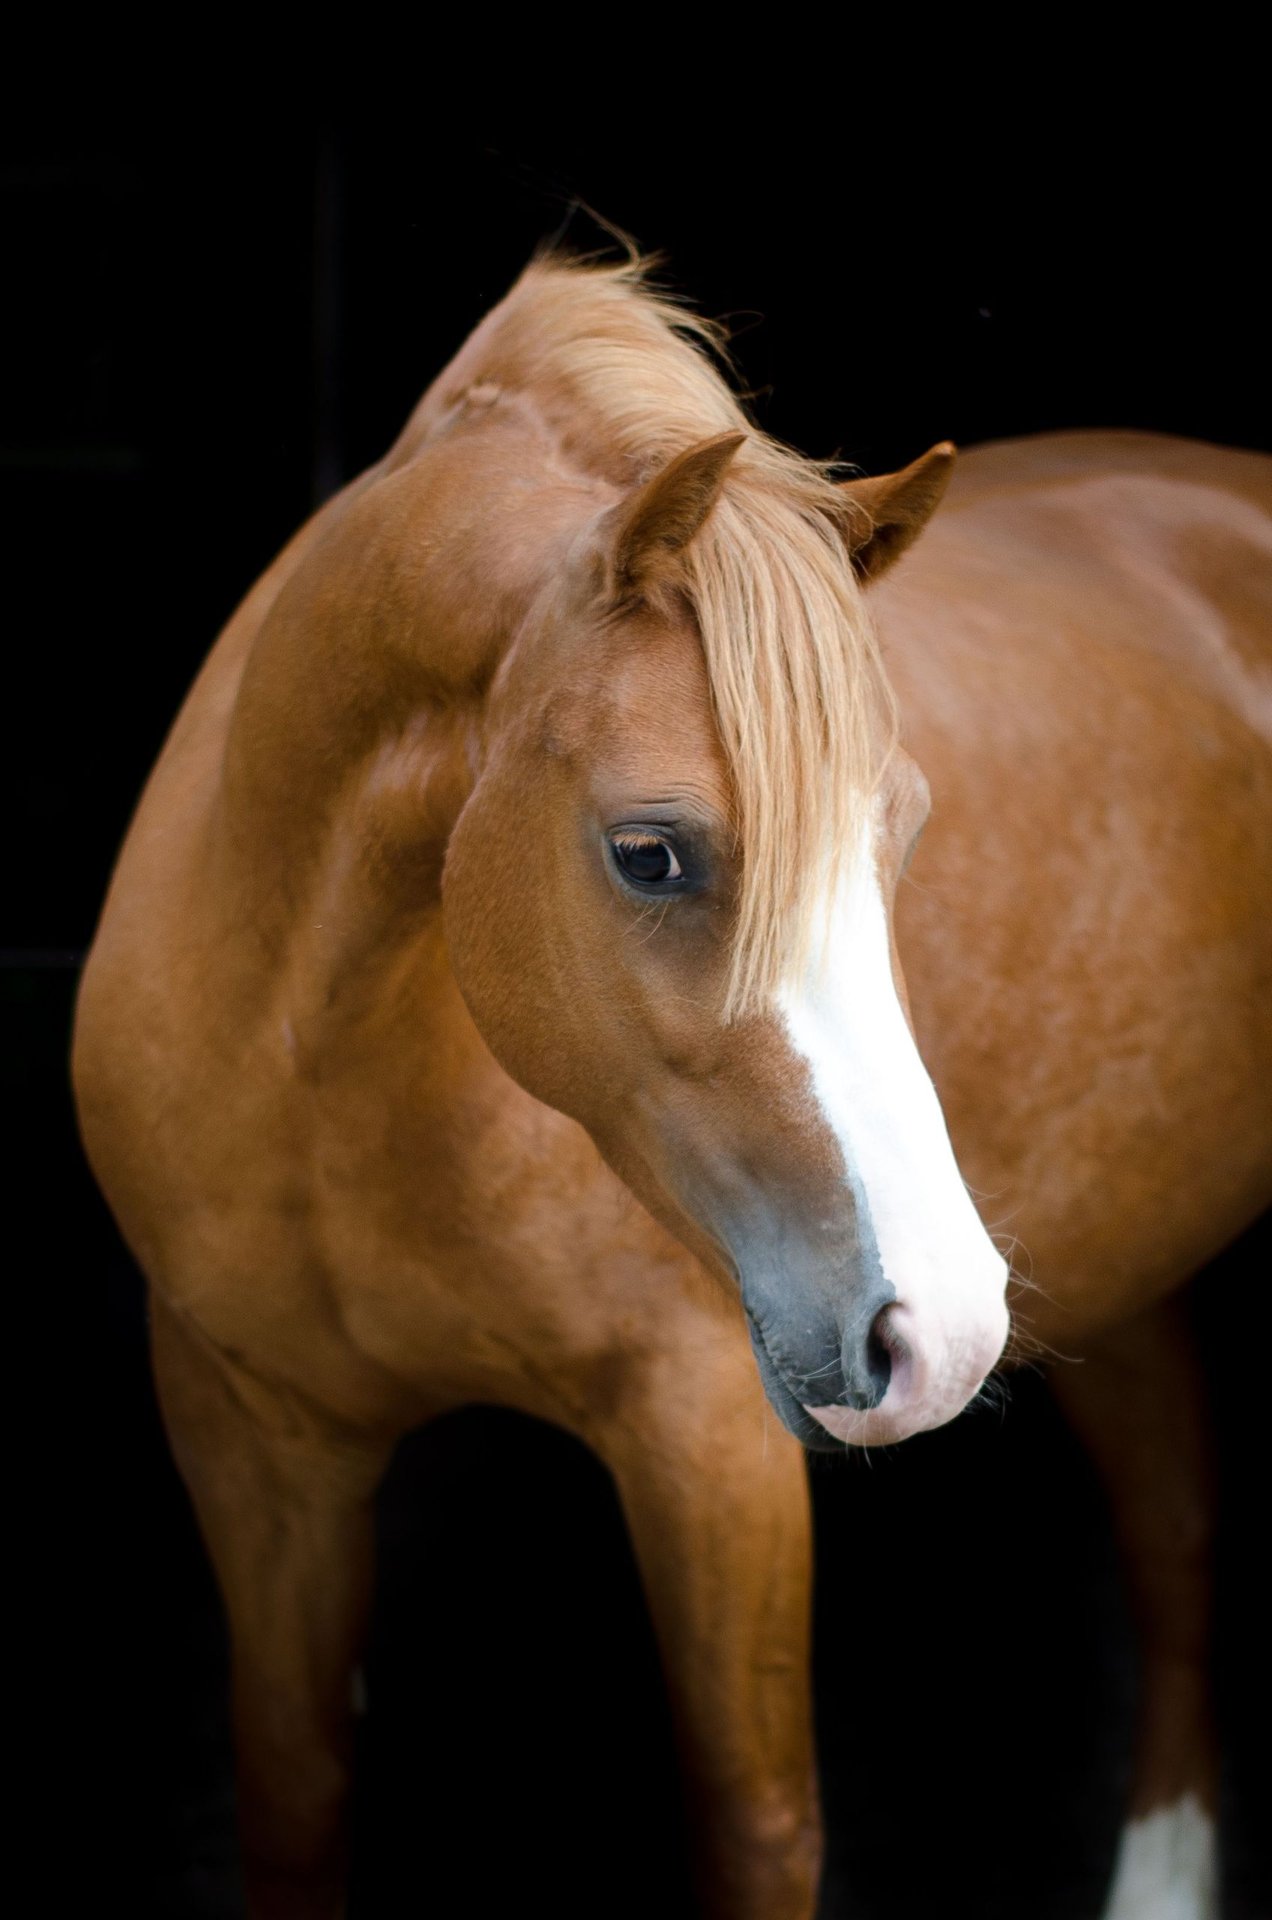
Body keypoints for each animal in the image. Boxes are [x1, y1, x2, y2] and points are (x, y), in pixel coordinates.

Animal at [72, 251, 1272, 1920]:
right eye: (652, 851)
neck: (312, 1062)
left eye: (900, 830)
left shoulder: (709, 1446)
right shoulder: (255, 1443)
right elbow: (296, 1793)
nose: (938, 1326)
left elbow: (758, 1822)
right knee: (1176, 1531)